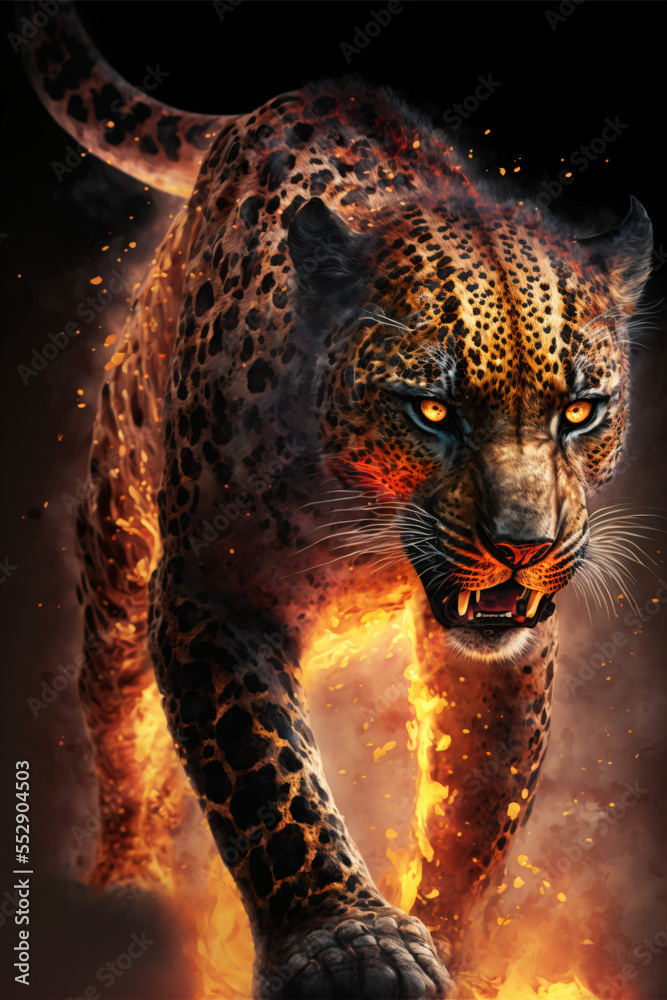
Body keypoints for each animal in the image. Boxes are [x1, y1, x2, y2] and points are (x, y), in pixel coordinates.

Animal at [22, 4, 652, 998]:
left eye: (579, 410)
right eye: (431, 409)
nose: (522, 546)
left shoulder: (507, 648)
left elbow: (480, 798)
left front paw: (452, 944)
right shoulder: (211, 592)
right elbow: (264, 773)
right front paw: (349, 944)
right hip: (118, 535)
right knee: (115, 715)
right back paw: (129, 882)